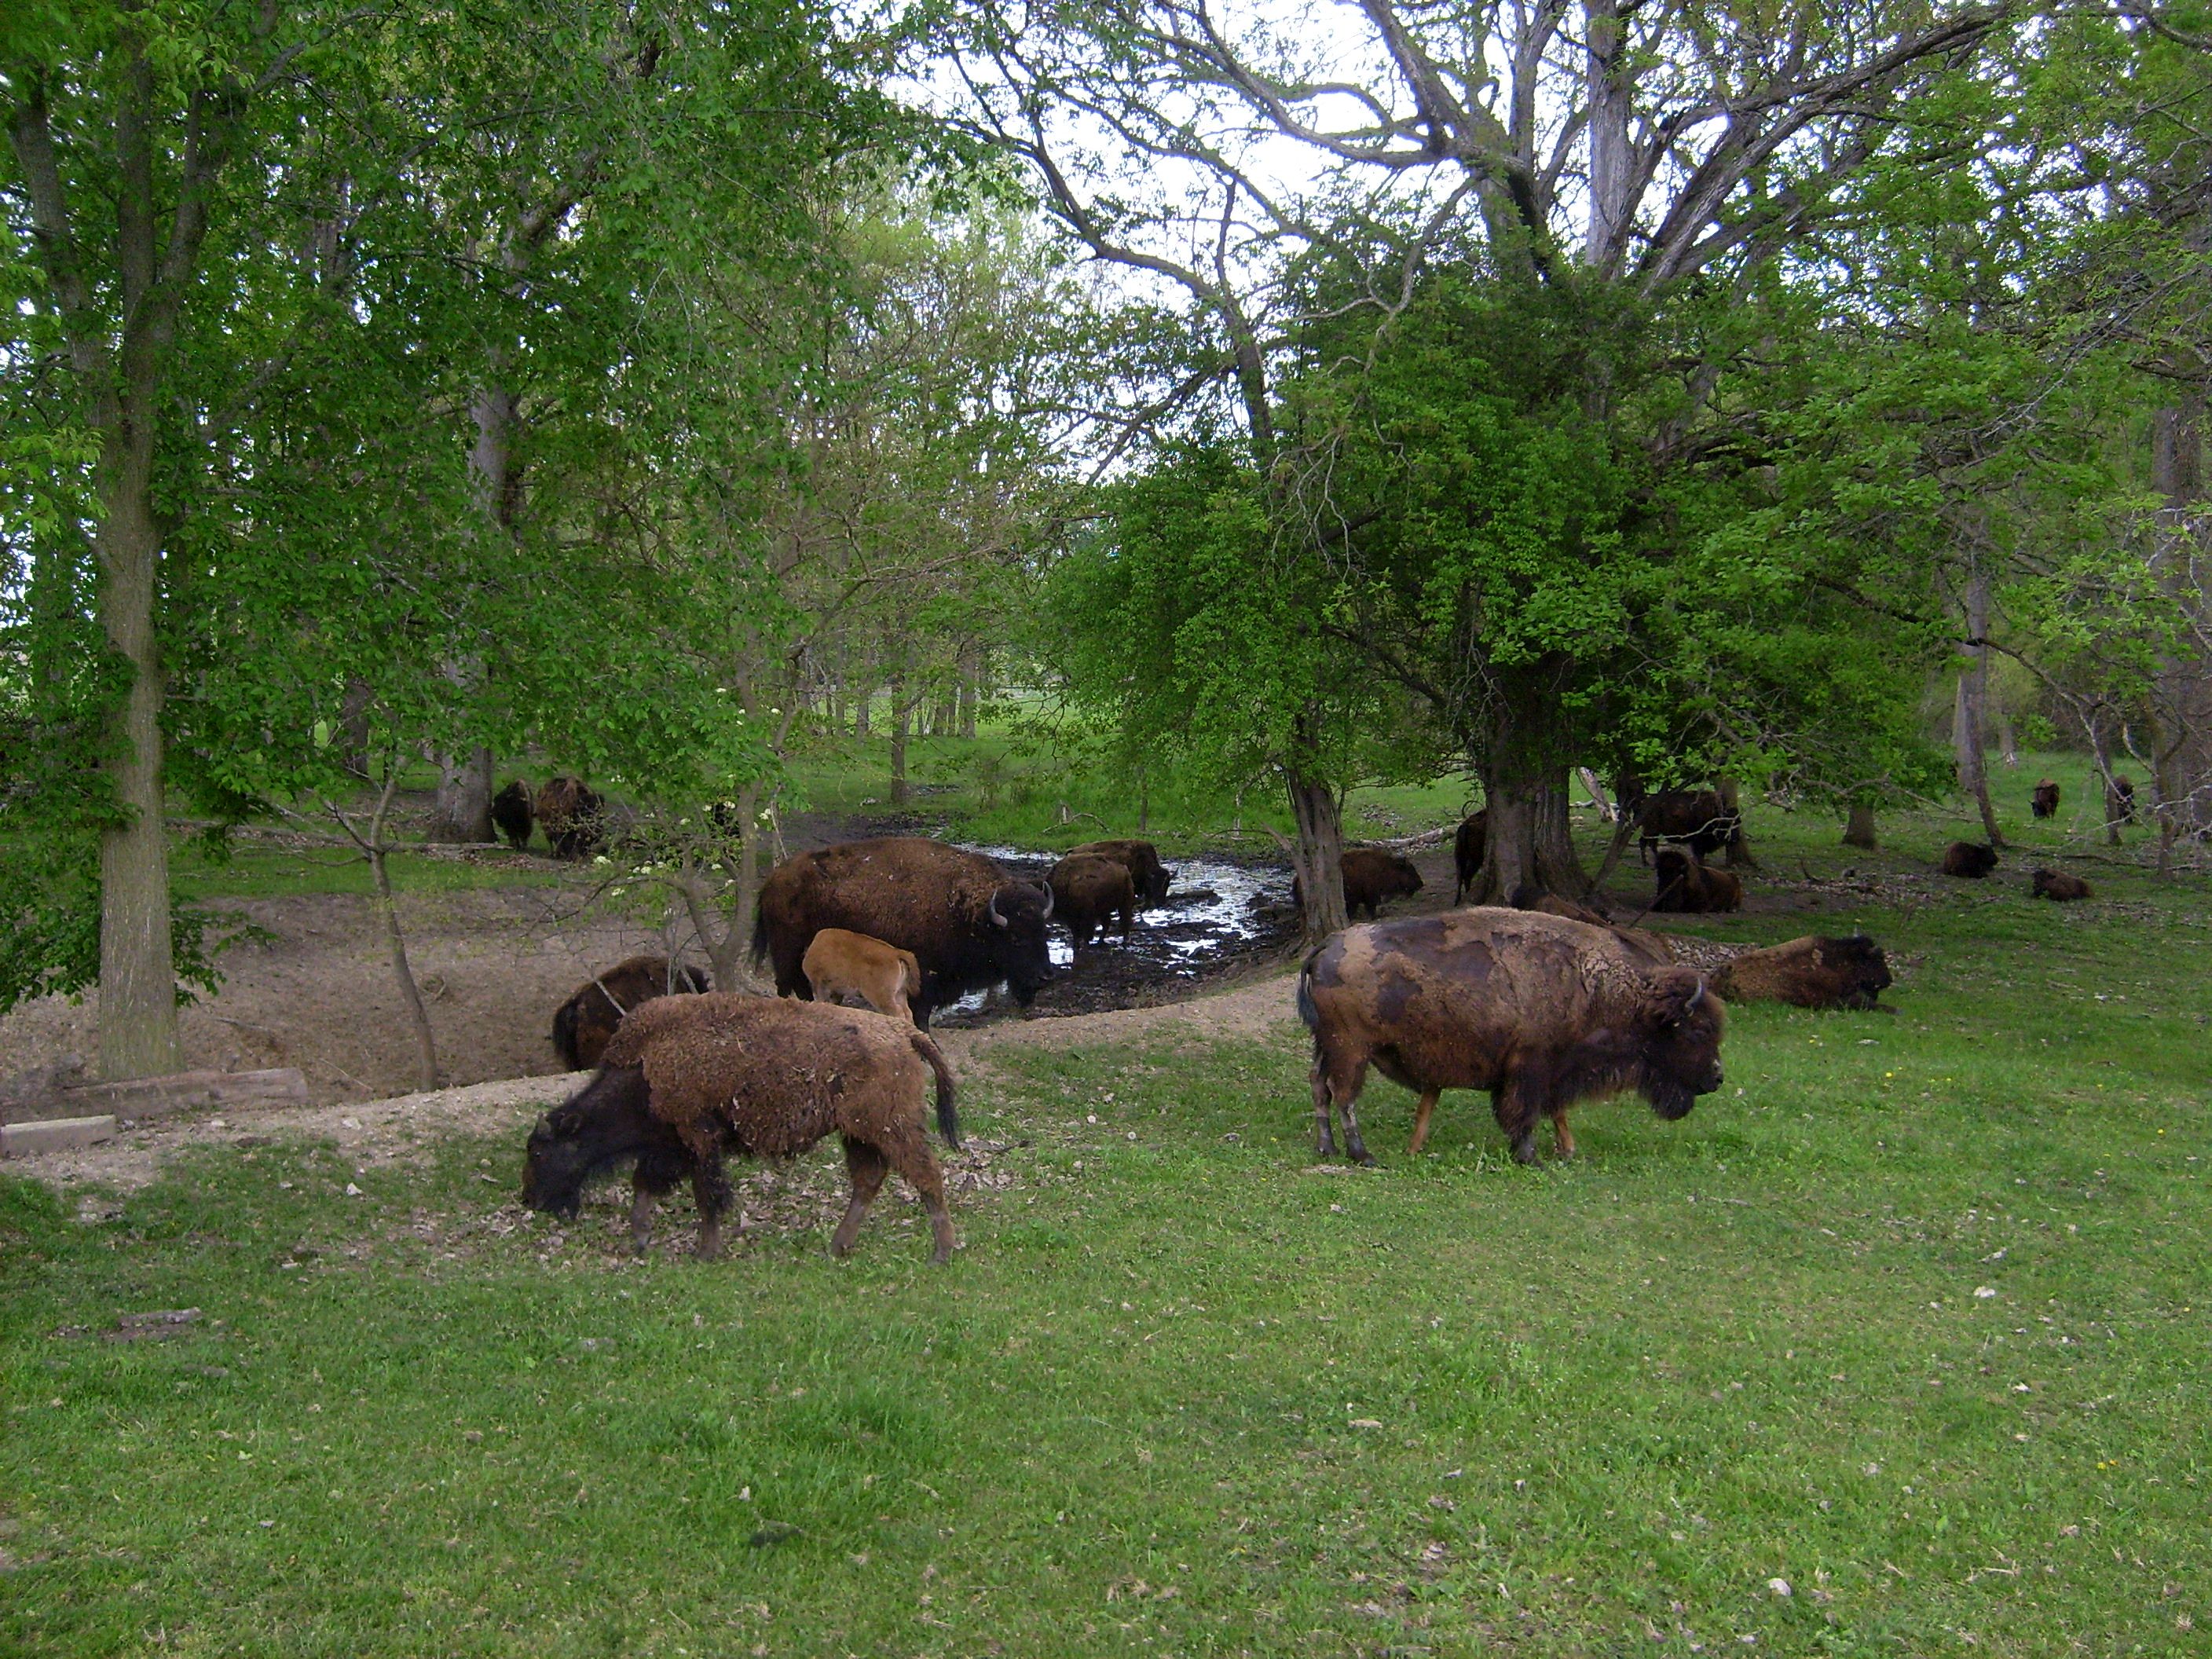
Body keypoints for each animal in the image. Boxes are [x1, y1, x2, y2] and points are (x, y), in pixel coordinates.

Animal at [751, 837, 1055, 1028]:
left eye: (1044, 933)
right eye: (1016, 938)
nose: (1045, 977)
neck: (968, 912)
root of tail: (772, 882)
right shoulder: (924, 981)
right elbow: (920, 1012)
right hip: (786, 949)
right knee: (787, 983)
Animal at [1298, 908, 1725, 1166]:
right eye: (1700, 1030)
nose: (1718, 1078)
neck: (1597, 988)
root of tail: (1328, 945)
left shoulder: (1552, 1071)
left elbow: (1553, 1110)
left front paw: (1562, 1150)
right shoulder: (1532, 1067)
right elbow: (1525, 1112)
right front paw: (1530, 1156)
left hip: (1327, 1046)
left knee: (1320, 1087)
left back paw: (1327, 1147)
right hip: (1351, 1049)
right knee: (1344, 1095)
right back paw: (1362, 1154)